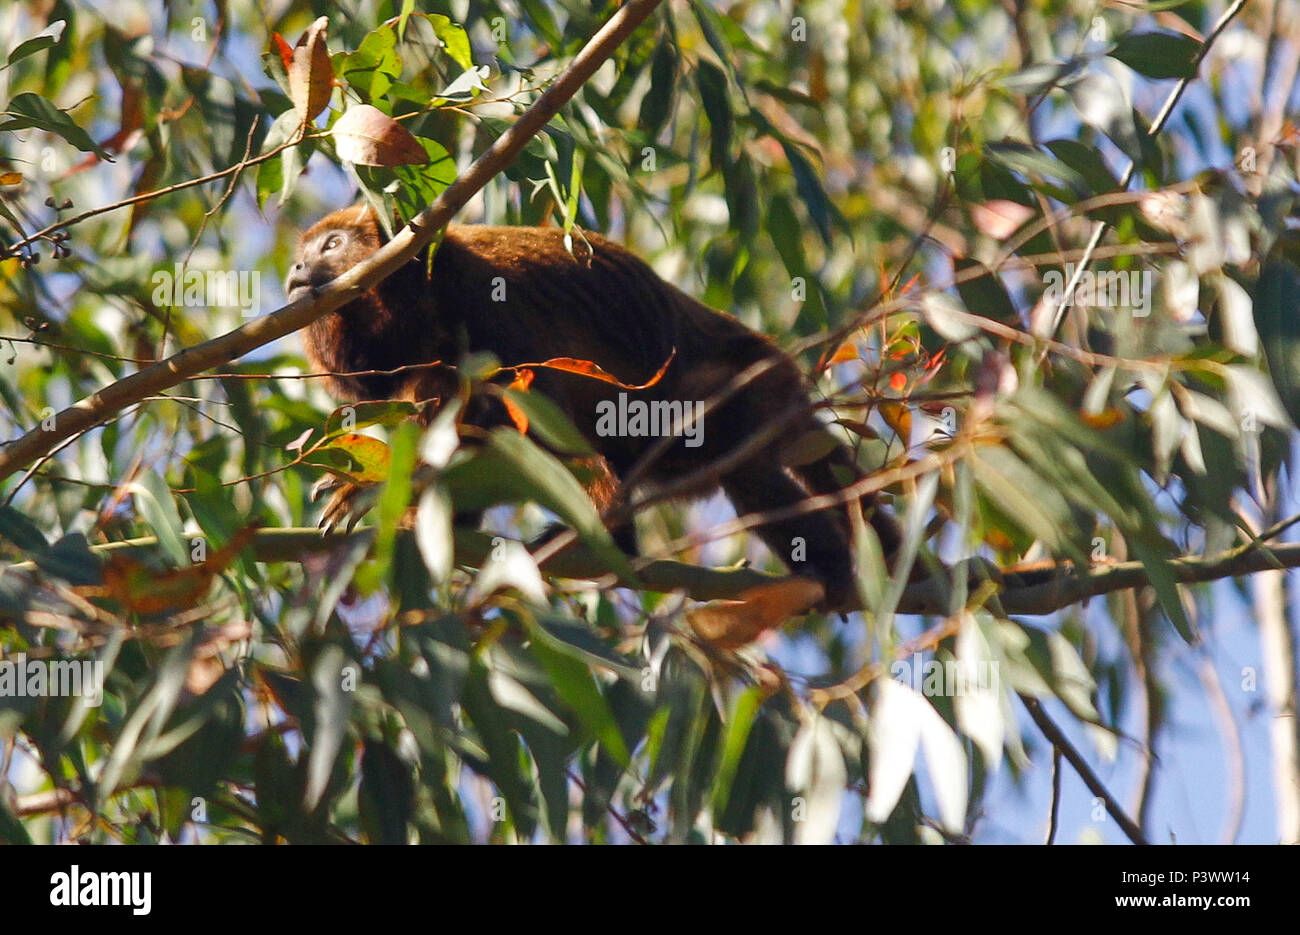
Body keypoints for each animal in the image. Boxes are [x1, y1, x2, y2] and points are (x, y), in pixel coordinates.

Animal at [285, 204, 902, 612]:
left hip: (743, 383)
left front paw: (373, 492)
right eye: (302, 253)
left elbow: (534, 418)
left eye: (332, 245)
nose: (293, 271)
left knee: (741, 465)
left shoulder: (482, 299)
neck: (422, 299)